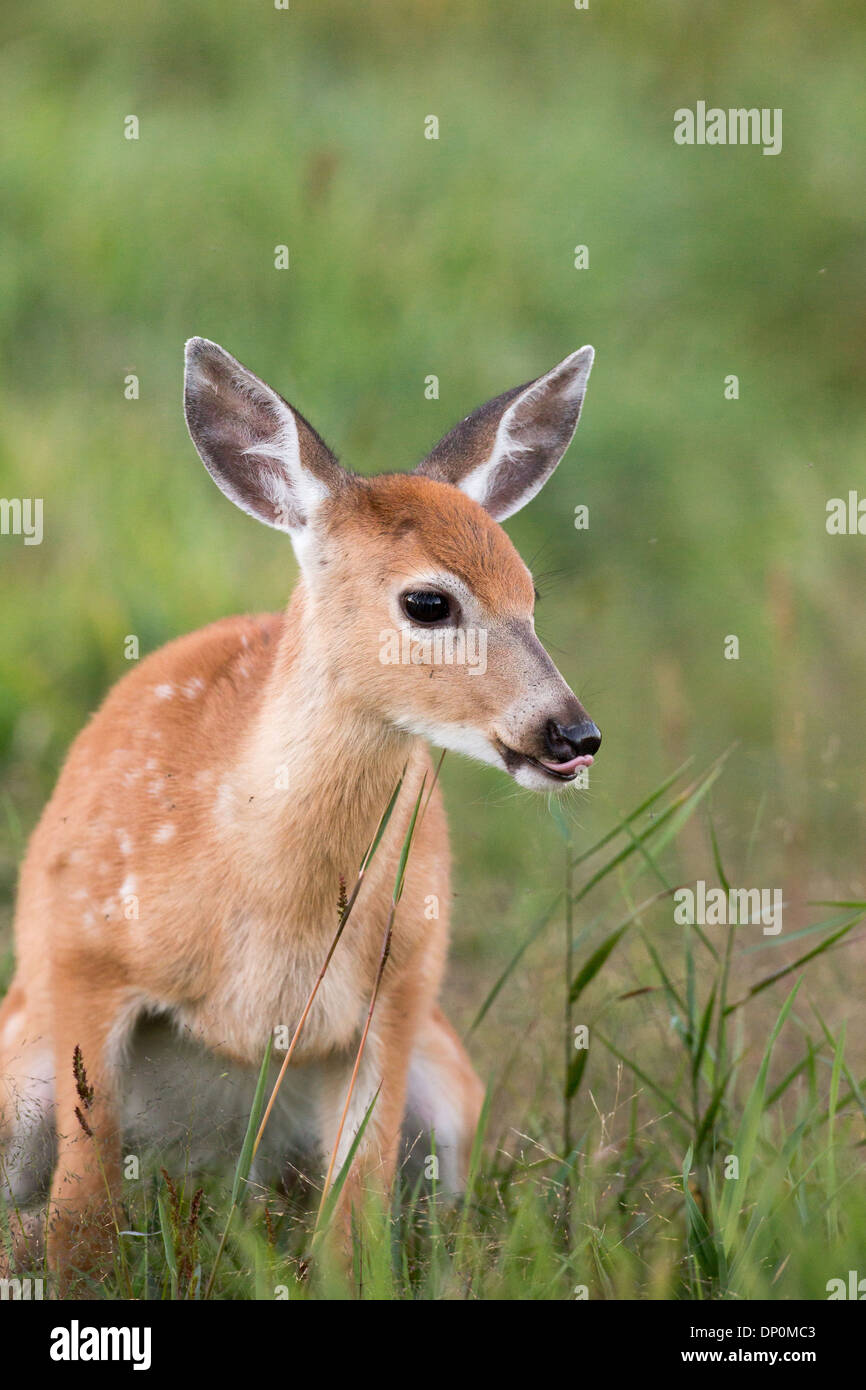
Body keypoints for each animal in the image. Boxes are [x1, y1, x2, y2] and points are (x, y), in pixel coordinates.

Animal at [0, 336, 600, 1286]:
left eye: (530, 592)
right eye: (429, 601)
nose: (572, 733)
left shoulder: (398, 983)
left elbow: (355, 1227)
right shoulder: (84, 950)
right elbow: (80, 1217)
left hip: (449, 1085)